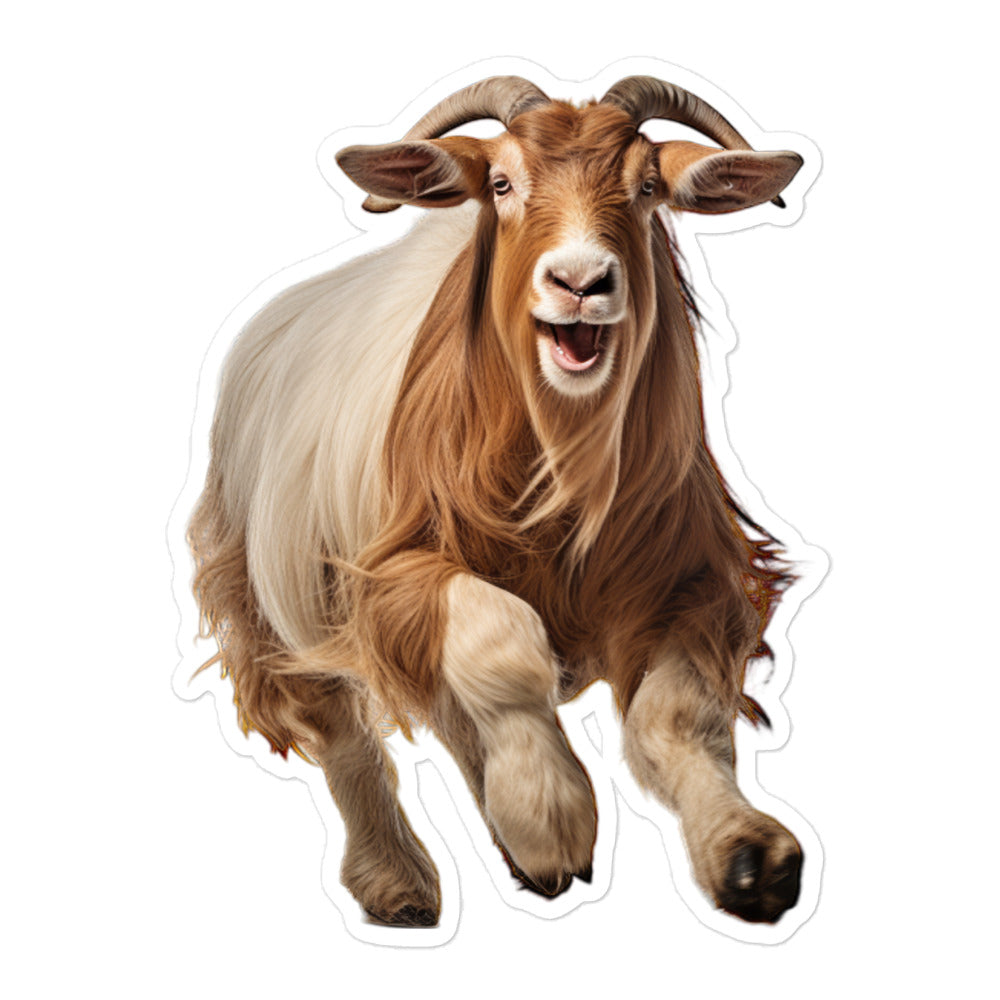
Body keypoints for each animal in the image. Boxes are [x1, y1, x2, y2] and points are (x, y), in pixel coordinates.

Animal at [189, 75, 806, 928]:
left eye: (648, 187)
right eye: (504, 184)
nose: (579, 282)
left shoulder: (691, 575)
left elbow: (676, 712)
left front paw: (750, 854)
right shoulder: (391, 570)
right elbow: (500, 638)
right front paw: (552, 820)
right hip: (264, 591)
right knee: (339, 727)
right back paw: (399, 883)